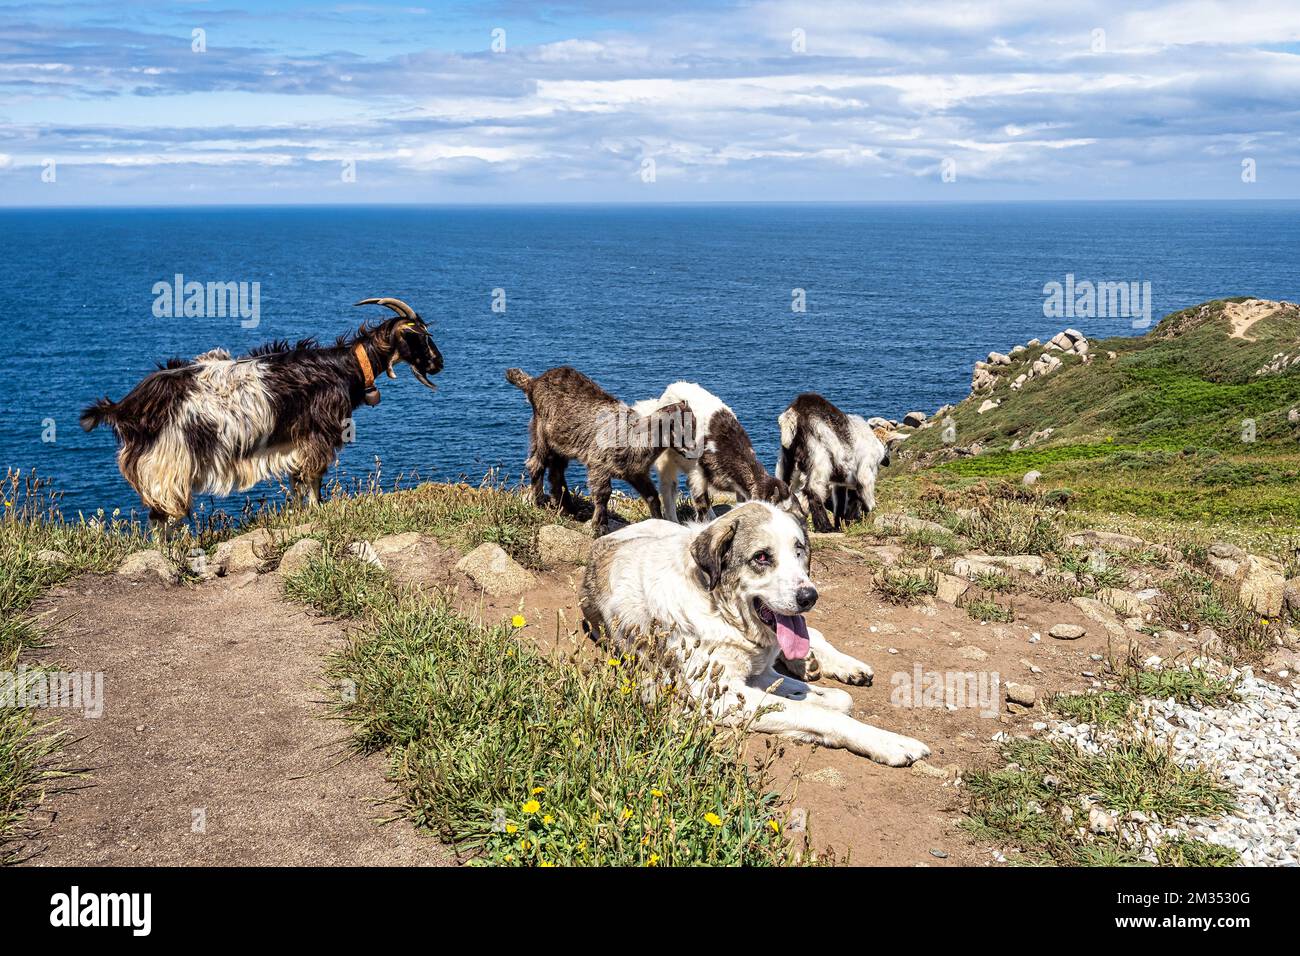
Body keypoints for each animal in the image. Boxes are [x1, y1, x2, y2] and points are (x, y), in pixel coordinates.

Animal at [81, 297, 443, 539]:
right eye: (420, 337)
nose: (439, 363)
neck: (345, 367)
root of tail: (125, 408)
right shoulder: (318, 435)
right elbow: (314, 480)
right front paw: (317, 512)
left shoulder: (296, 443)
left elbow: (298, 483)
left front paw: (299, 514)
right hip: (168, 464)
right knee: (162, 516)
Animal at [505, 366, 692, 536]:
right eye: (680, 426)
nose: (691, 450)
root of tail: (533, 383)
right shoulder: (599, 463)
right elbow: (603, 494)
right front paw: (599, 525)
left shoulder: (636, 472)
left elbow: (652, 495)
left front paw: (659, 521)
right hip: (541, 432)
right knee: (536, 463)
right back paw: (539, 501)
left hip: (561, 442)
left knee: (556, 471)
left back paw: (567, 507)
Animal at [776, 392, 889, 532]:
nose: (852, 520)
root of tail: (793, 414)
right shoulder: (866, 471)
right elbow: (866, 498)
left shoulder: (840, 484)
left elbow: (841, 505)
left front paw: (841, 524)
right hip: (819, 458)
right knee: (813, 488)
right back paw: (825, 526)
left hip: (787, 461)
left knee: (785, 487)